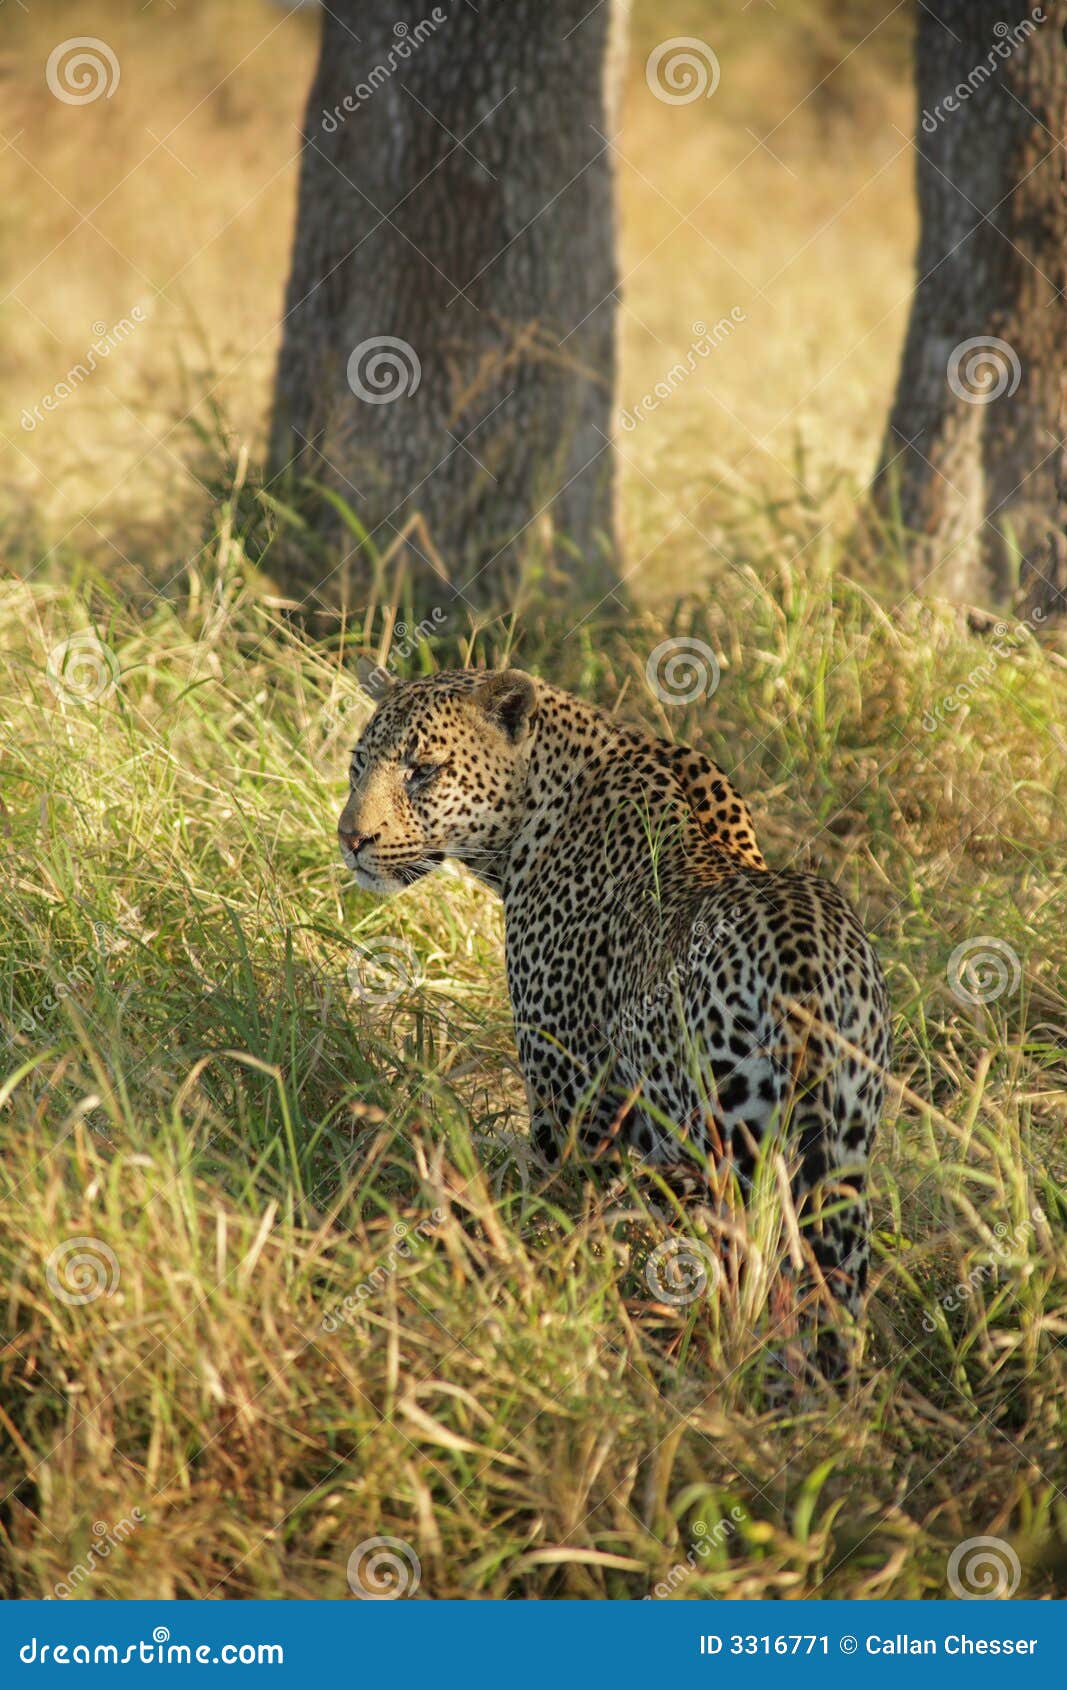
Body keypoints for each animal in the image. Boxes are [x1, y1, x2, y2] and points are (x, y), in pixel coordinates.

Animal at [337, 665, 892, 1358]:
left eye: (425, 770)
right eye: (358, 765)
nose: (351, 839)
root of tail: (802, 958)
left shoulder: (573, 1113)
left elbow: (554, 1220)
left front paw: (538, 1299)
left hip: (733, 1149)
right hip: (844, 1152)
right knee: (836, 1297)